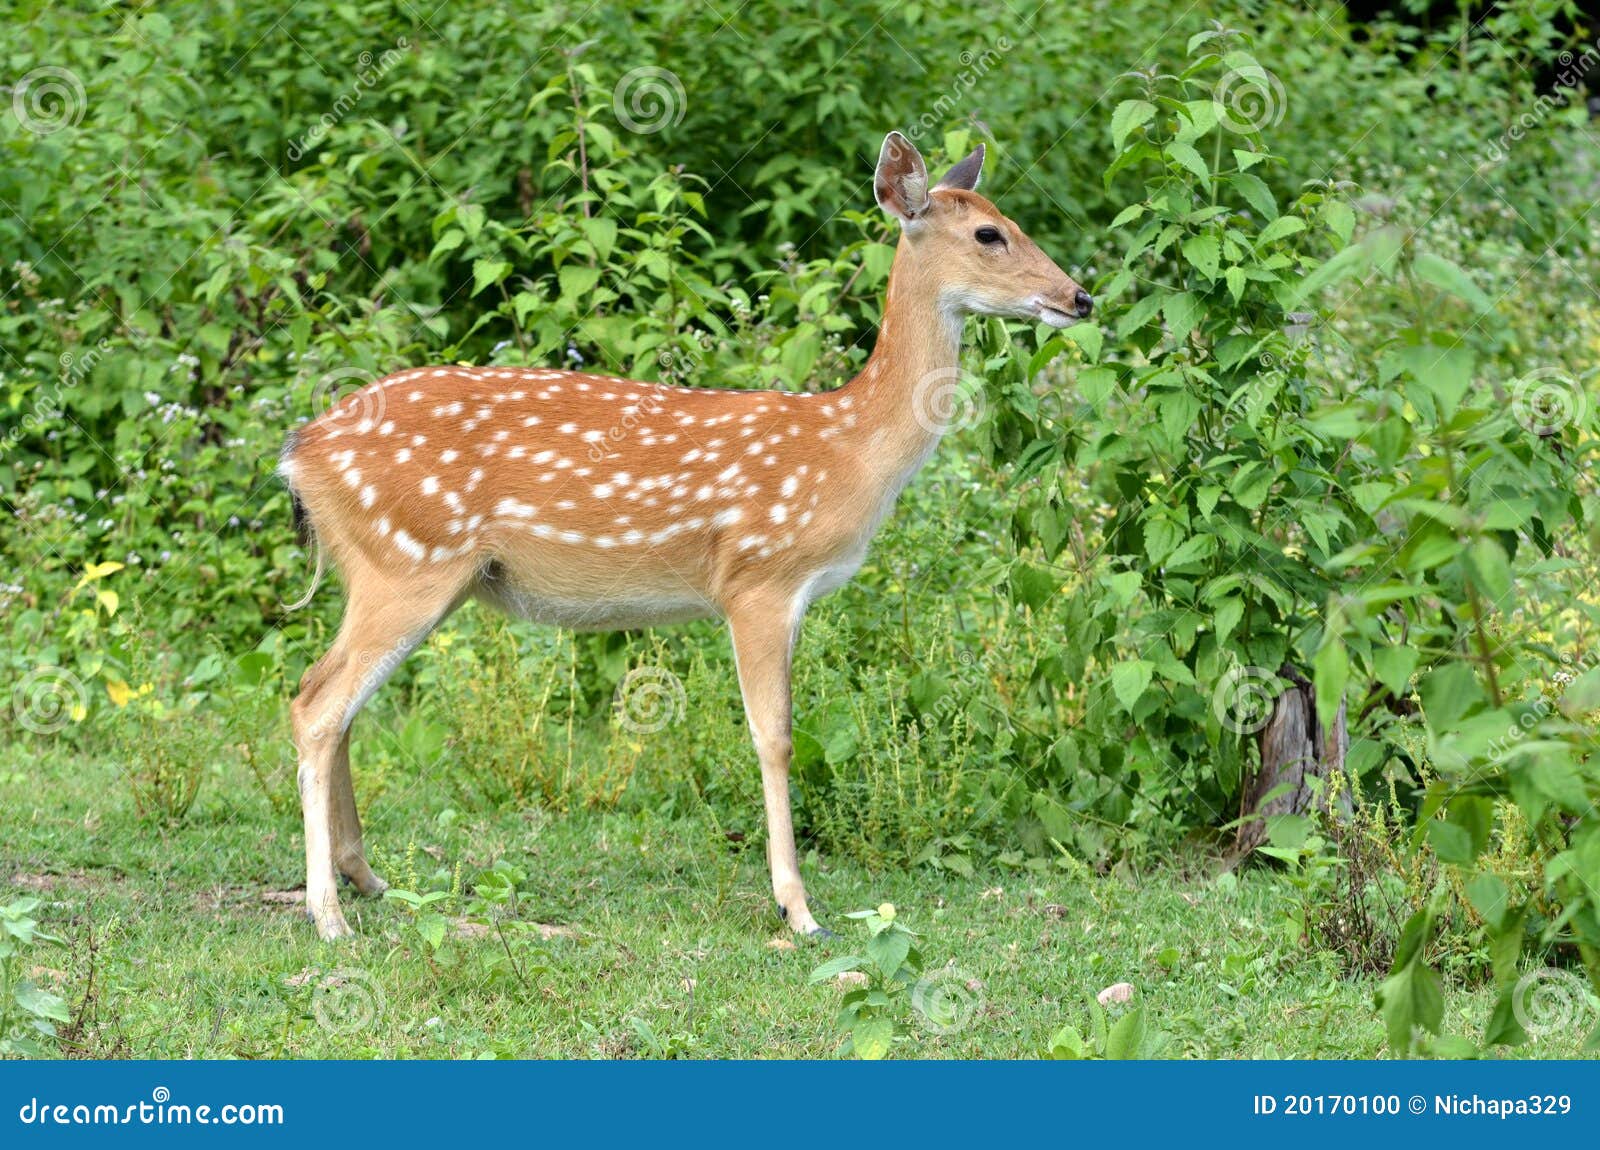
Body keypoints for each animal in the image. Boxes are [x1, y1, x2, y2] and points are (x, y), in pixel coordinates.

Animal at [278, 131, 1091, 941]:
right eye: (988, 234)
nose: (1080, 297)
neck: (849, 450)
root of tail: (298, 452)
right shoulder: (758, 578)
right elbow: (775, 736)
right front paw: (799, 910)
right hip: (407, 562)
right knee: (316, 705)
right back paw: (328, 914)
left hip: (410, 572)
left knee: (334, 700)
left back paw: (367, 879)